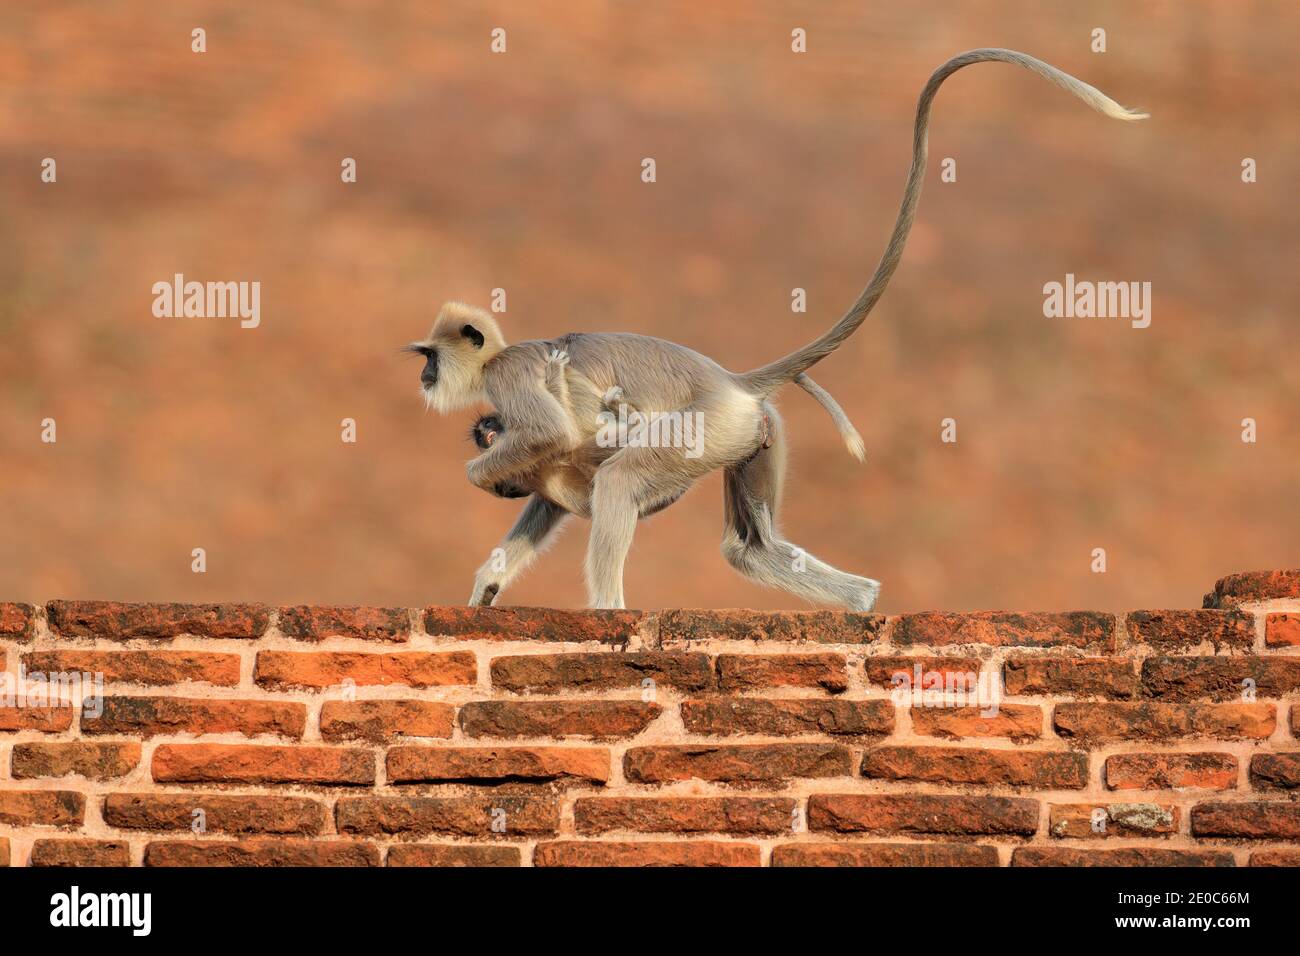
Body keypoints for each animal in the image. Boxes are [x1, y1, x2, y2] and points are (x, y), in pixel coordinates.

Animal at [406, 49, 1147, 610]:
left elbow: (552, 438)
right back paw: (861, 603)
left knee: (622, 481)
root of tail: (734, 383)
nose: (424, 375)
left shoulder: (516, 387)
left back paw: (610, 609)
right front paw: (491, 577)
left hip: (704, 429)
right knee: (750, 547)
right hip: (749, 437)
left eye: (431, 359)